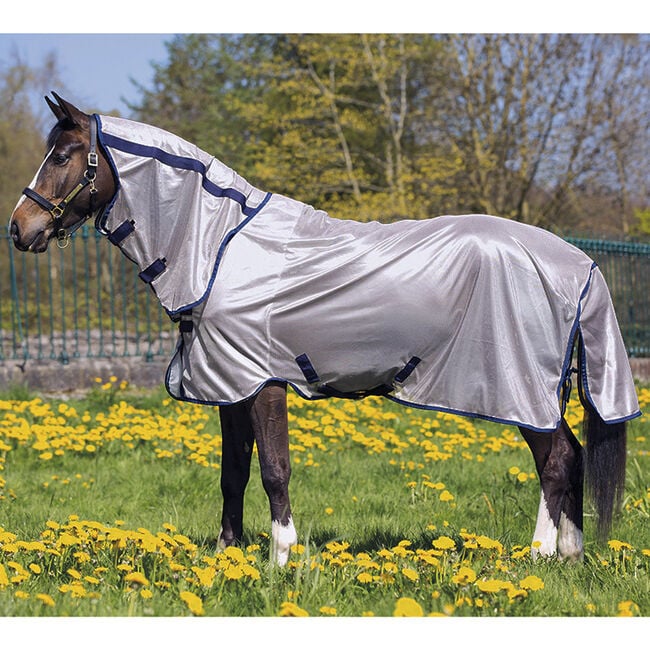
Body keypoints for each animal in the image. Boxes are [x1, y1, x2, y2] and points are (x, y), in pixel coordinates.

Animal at [9, 93, 641, 566]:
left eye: (64, 155)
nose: (19, 228)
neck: (220, 247)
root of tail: (576, 262)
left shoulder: (261, 382)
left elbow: (274, 470)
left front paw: (282, 559)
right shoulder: (230, 384)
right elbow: (233, 473)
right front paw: (229, 556)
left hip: (522, 389)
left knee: (554, 461)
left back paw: (539, 555)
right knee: (569, 457)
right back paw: (568, 556)